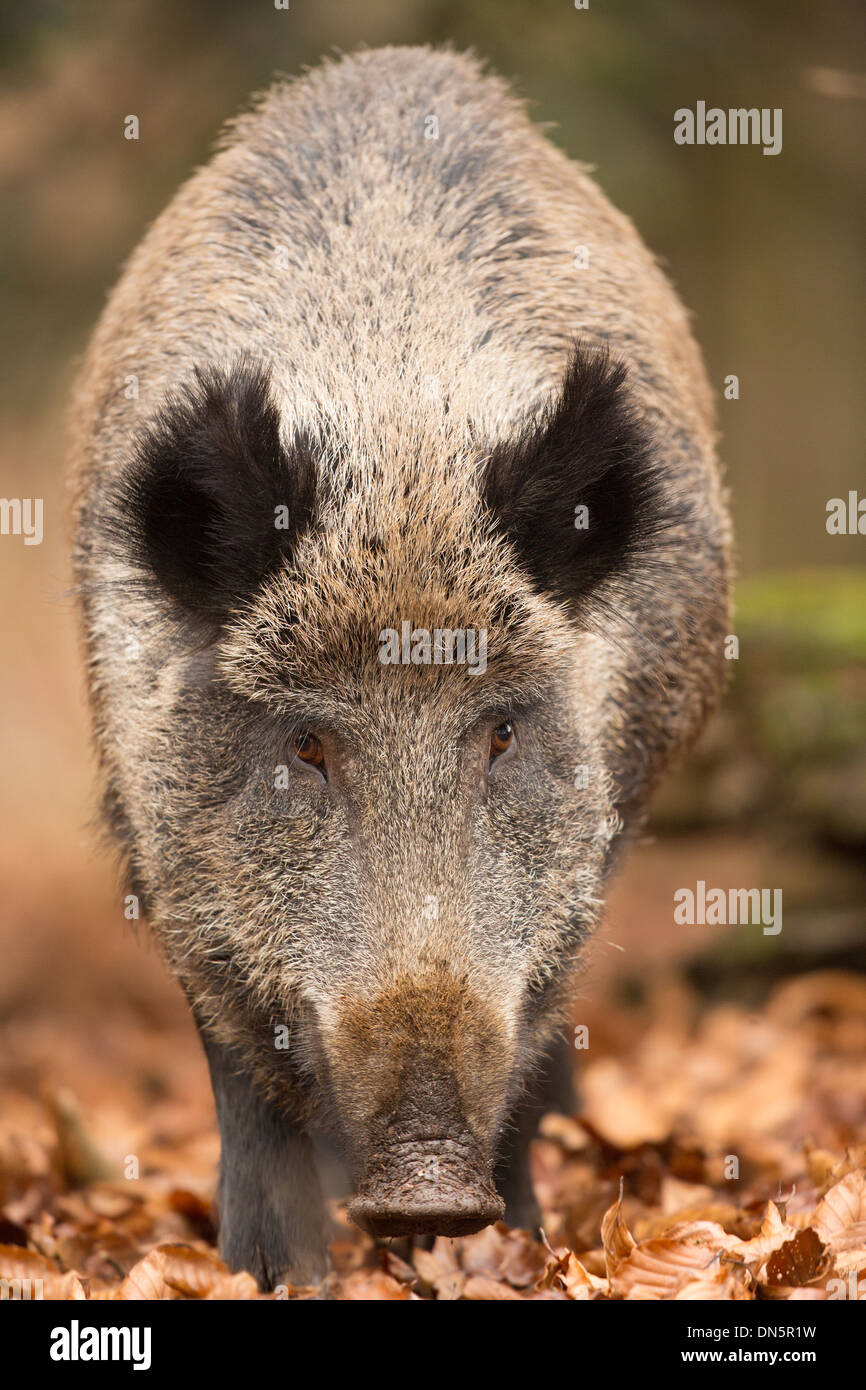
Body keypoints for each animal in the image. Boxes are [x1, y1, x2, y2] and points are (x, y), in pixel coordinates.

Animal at [69, 46, 731, 1287]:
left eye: (503, 730)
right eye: (306, 741)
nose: (426, 1185)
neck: (400, 459)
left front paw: (513, 1245)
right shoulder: (160, 830)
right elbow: (238, 1060)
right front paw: (272, 1273)